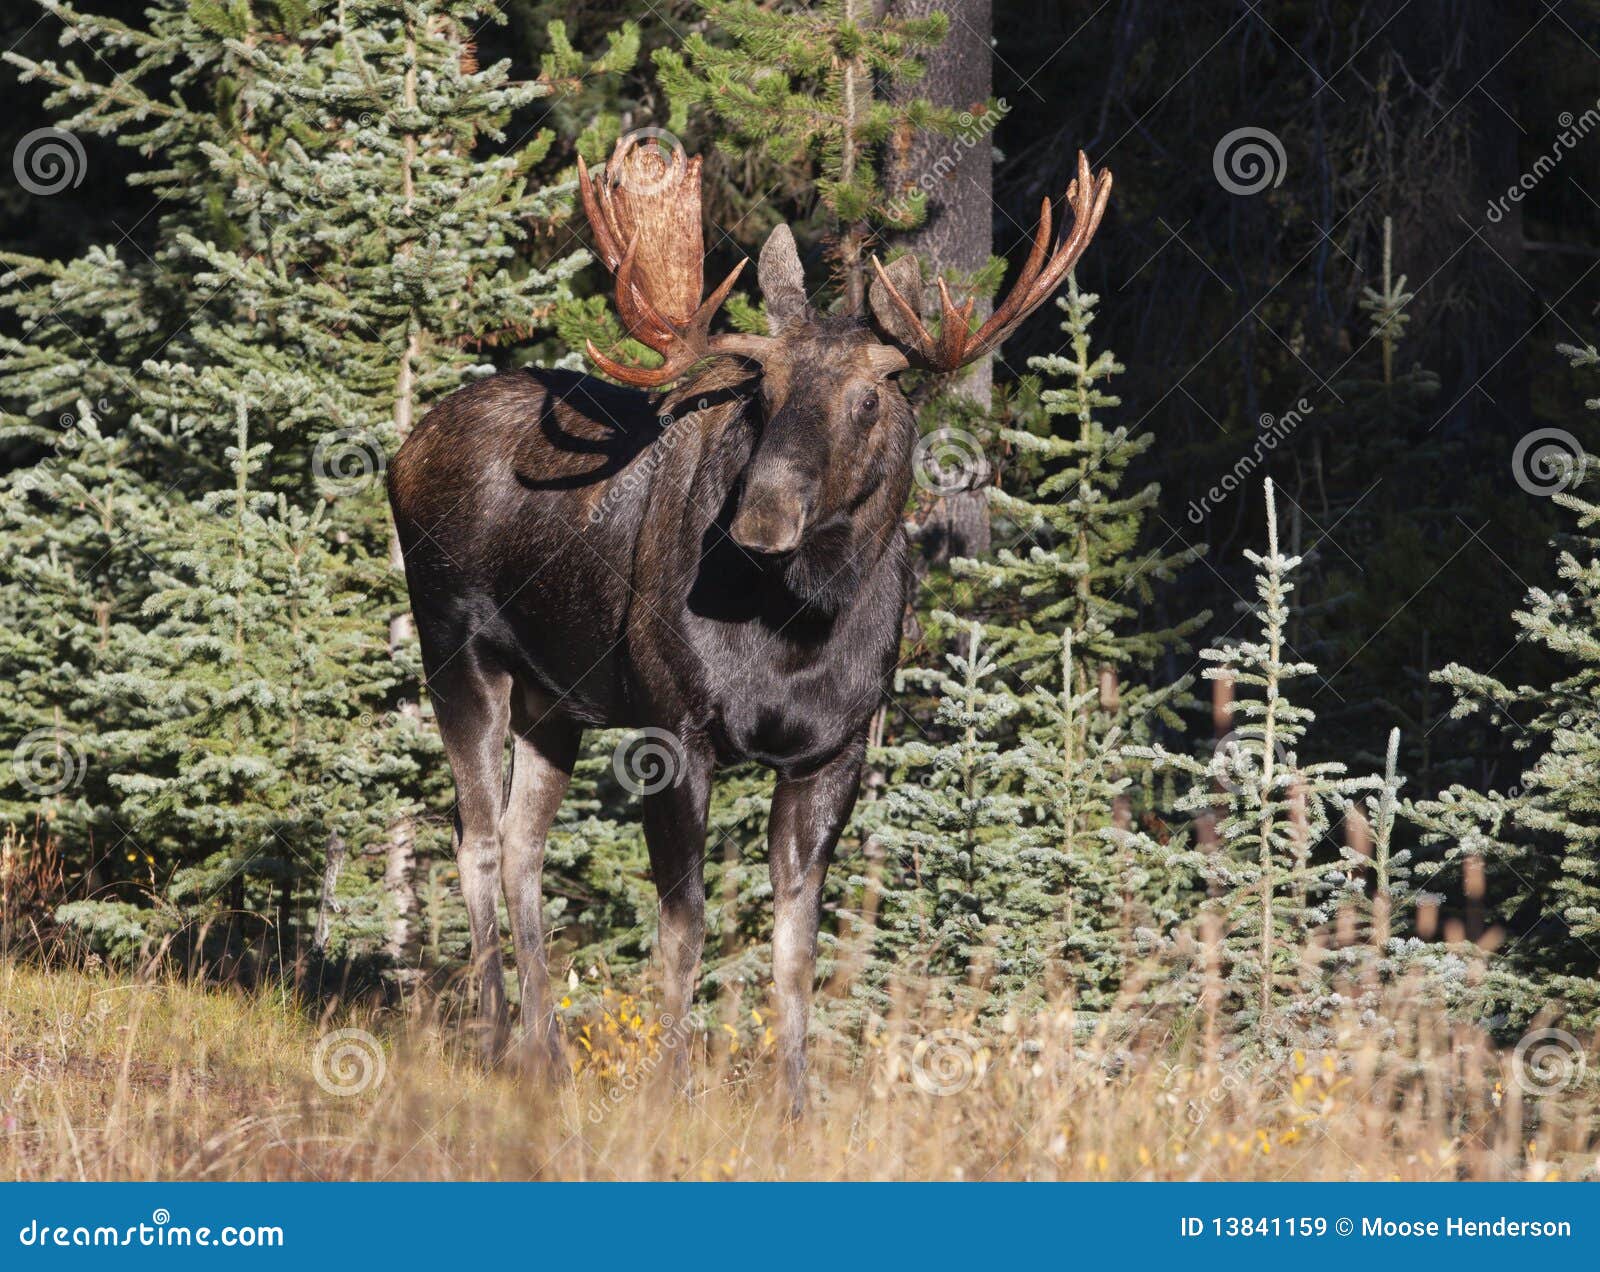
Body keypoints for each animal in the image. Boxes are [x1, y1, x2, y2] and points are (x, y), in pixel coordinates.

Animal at [387, 136, 1112, 1116]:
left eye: (871, 398)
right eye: (760, 393)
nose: (763, 518)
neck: (798, 632)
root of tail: (403, 450)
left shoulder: (835, 749)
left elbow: (799, 940)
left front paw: (795, 1102)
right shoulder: (672, 728)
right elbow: (684, 925)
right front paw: (670, 1087)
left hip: (554, 700)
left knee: (523, 846)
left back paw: (547, 1053)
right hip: (456, 650)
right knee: (476, 838)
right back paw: (498, 1040)